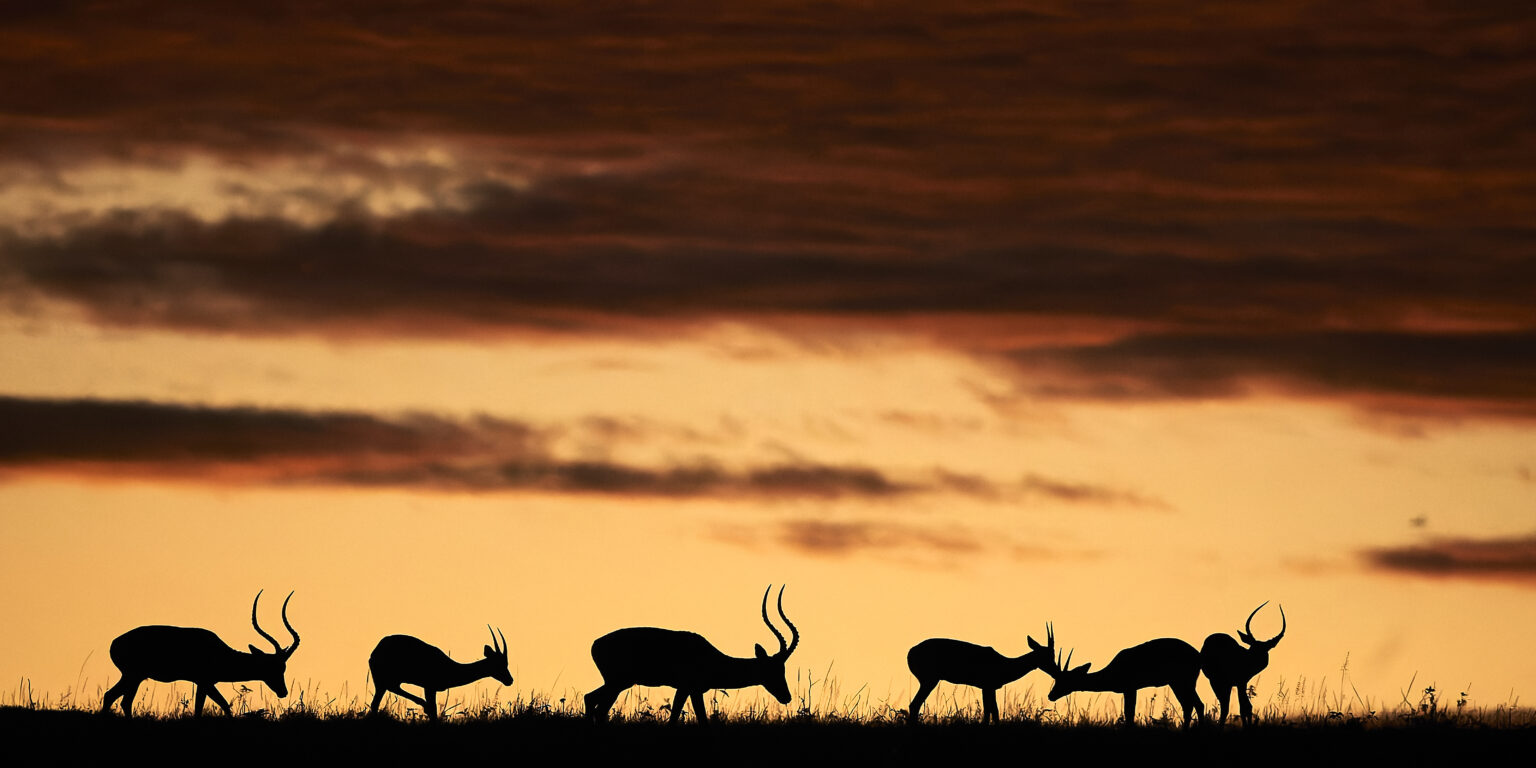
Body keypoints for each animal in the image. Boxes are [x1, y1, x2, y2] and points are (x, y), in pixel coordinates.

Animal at [101, 590, 299, 716]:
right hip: (133, 676)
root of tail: (114, 643)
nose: (283, 692)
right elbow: (212, 707)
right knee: (118, 698)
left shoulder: (205, 683)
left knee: (116, 698)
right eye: (272, 667)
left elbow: (217, 706)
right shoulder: (205, 682)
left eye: (283, 668)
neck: (221, 653)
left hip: (134, 677)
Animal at [368, 625, 513, 721]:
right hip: (388, 680)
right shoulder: (429, 687)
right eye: (500, 664)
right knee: (391, 688)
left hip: (380, 684)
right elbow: (433, 710)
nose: (510, 680)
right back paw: (423, 704)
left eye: (506, 663)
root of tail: (377, 649)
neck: (450, 667)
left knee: (375, 703)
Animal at [584, 584, 800, 724]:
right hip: (618, 683)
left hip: (617, 683)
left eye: (783, 669)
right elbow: (691, 720)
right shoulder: (689, 688)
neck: (713, 659)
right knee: (598, 707)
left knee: (590, 698)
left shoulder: (690, 690)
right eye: (773, 669)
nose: (786, 697)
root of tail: (595, 644)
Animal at [905, 624, 1055, 724]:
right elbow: (991, 712)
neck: (1005, 665)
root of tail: (910, 652)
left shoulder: (989, 688)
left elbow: (992, 711)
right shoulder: (987, 686)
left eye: (1053, 655)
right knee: (914, 704)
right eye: (1046, 656)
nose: (1056, 671)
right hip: (930, 680)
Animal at [1044, 636, 1205, 726]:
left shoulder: (1130, 687)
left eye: (1066, 679)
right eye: (1056, 679)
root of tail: (1198, 656)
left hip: (1182, 681)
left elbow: (1129, 714)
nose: (1050, 695)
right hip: (1180, 682)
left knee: (1192, 705)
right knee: (1195, 705)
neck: (1112, 675)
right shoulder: (1129, 689)